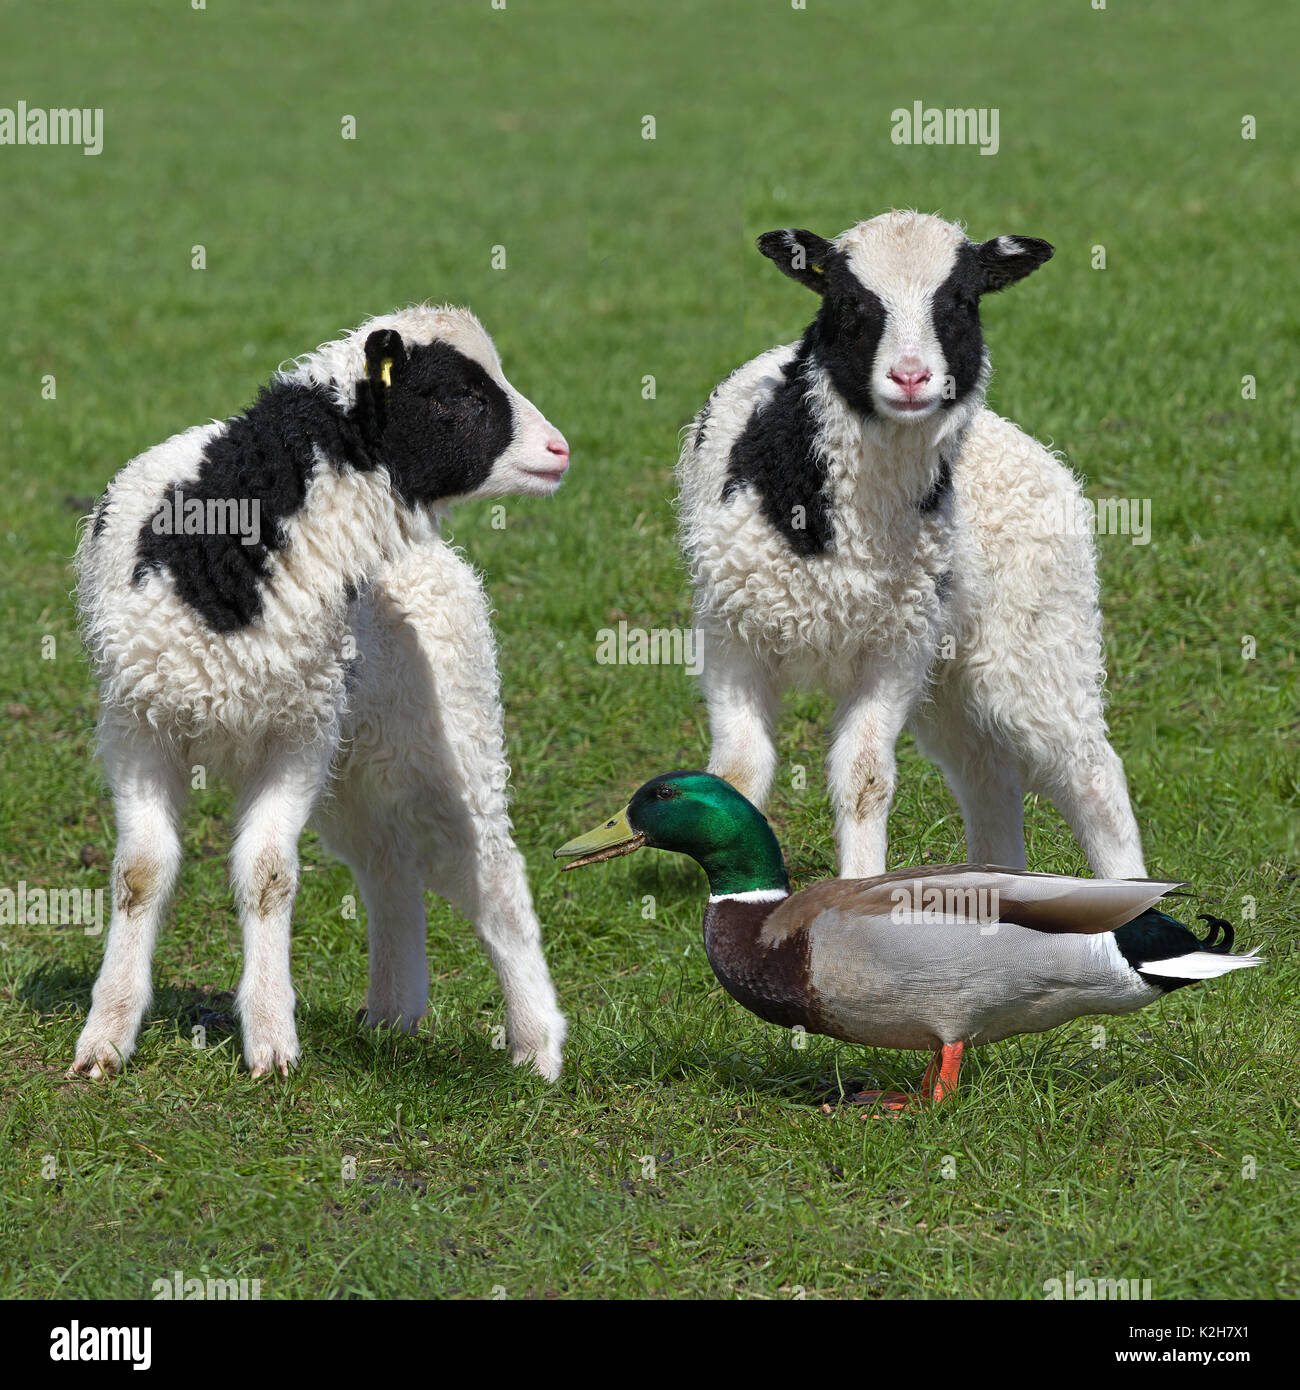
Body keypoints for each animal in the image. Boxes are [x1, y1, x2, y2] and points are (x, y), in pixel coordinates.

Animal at [72, 304, 570, 1080]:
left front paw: (271, 1040)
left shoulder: (297, 734)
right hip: (357, 767)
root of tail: (441, 561)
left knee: (492, 874)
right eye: (457, 394)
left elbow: (269, 874)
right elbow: (141, 873)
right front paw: (106, 1037)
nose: (560, 449)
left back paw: (536, 1046)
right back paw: (395, 1016)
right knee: (391, 870)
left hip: (450, 739)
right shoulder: (137, 727)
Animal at [678, 211, 1147, 881]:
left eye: (963, 302)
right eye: (848, 301)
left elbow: (864, 777)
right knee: (987, 774)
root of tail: (1042, 457)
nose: (909, 377)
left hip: (1039, 637)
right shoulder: (731, 637)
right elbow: (739, 775)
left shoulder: (896, 646)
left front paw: (857, 887)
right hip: (951, 676)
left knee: (1090, 771)